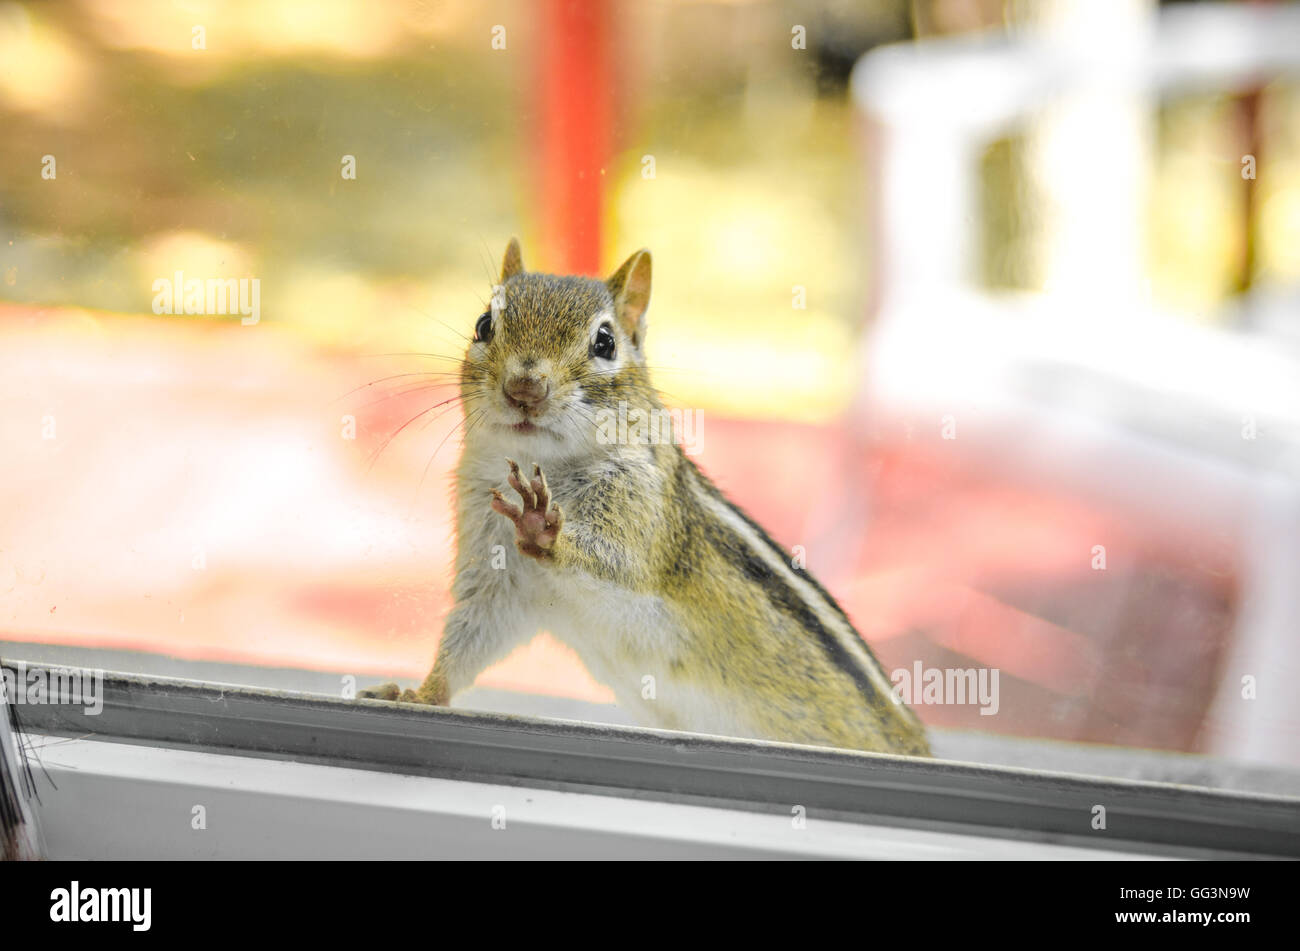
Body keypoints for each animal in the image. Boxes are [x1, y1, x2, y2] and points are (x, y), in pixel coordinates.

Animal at [360, 239, 931, 757]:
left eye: (605, 342)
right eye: (483, 324)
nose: (525, 388)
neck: (547, 466)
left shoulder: (643, 510)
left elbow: (620, 562)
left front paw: (545, 526)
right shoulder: (498, 577)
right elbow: (471, 635)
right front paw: (421, 694)